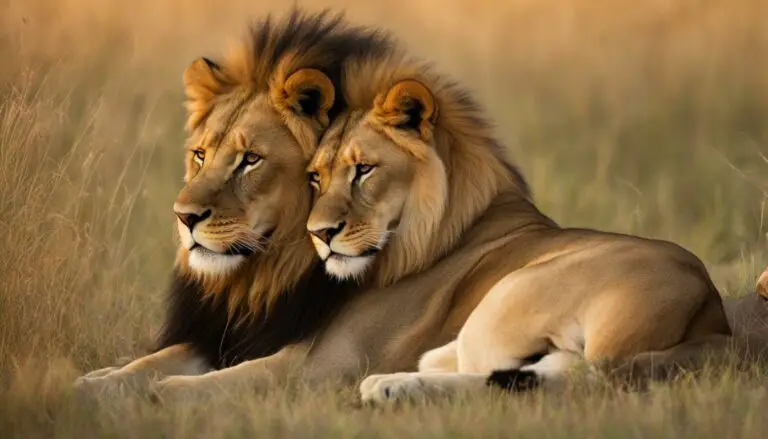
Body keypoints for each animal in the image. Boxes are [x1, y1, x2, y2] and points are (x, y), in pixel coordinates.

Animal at [73, 8, 392, 395]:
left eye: (250, 159)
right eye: (200, 154)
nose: (184, 217)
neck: (261, 280)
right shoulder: (214, 337)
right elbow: (150, 360)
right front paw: (93, 384)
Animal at [303, 50, 768, 403]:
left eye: (364, 169)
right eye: (316, 178)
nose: (319, 233)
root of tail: (705, 306)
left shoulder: (332, 364)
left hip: (504, 303)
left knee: (539, 375)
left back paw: (389, 387)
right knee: (553, 373)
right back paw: (395, 385)